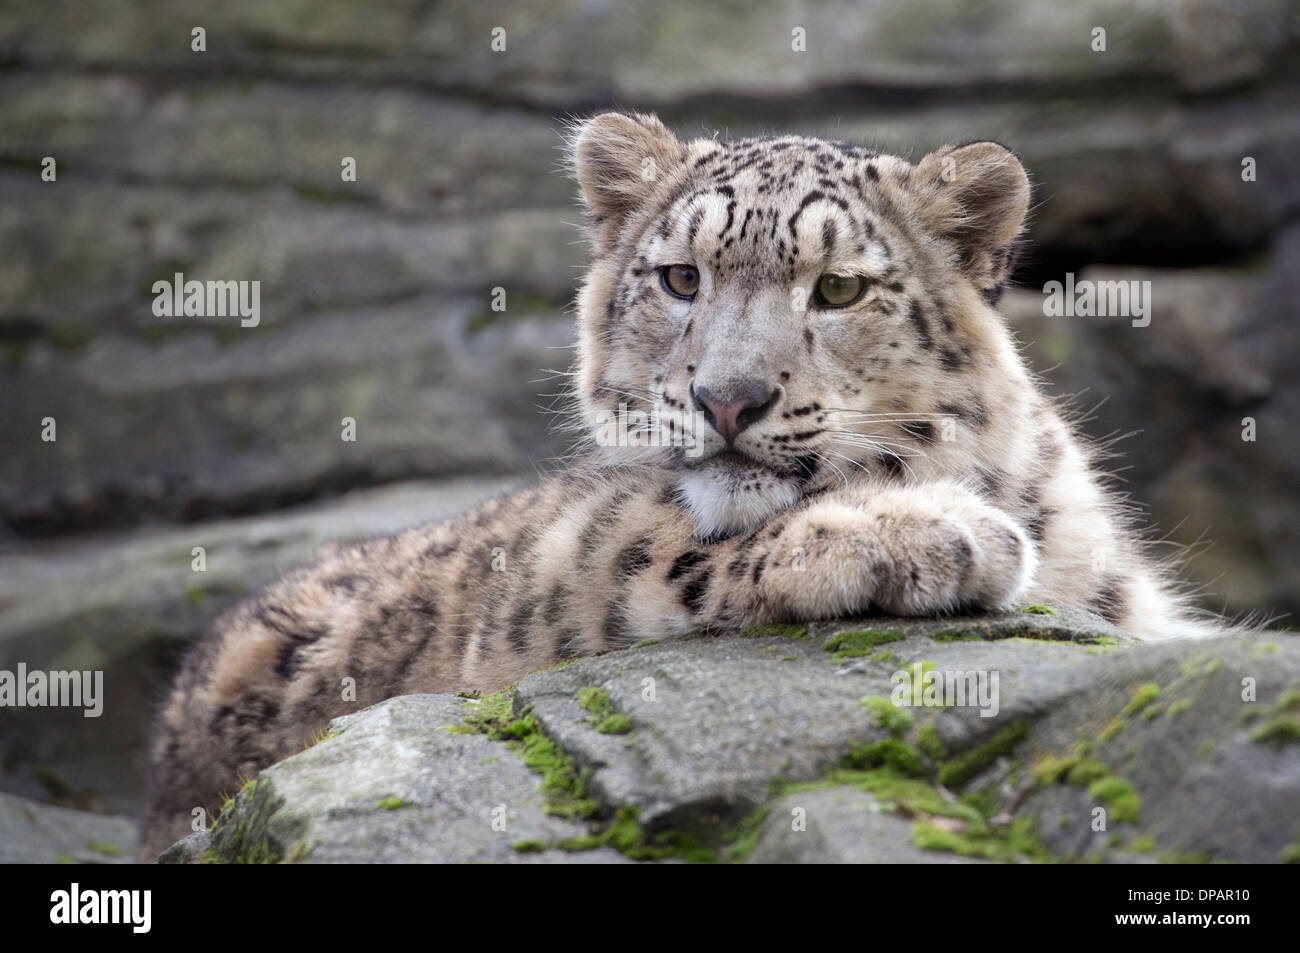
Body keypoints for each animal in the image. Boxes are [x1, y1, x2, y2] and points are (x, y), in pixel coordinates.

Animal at [139, 110, 1221, 860]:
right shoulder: (552, 577)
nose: (727, 398)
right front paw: (936, 530)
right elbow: (667, 552)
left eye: (839, 288)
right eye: (680, 278)